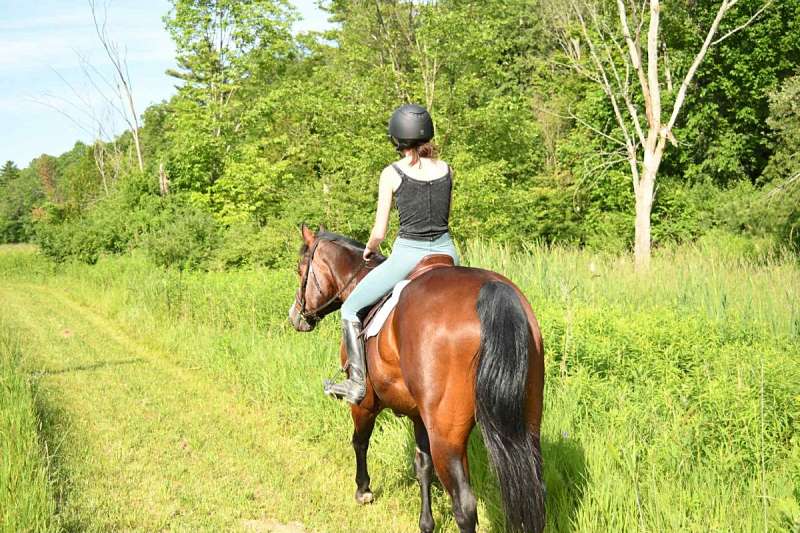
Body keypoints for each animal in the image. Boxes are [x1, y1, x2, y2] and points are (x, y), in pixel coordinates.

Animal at [288, 224, 545, 533]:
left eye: (300, 269)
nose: (296, 316)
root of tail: (492, 291)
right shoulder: (419, 415)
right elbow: (422, 465)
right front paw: (426, 523)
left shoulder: (364, 403)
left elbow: (360, 441)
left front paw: (363, 490)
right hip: (528, 422)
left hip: (446, 437)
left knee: (465, 506)